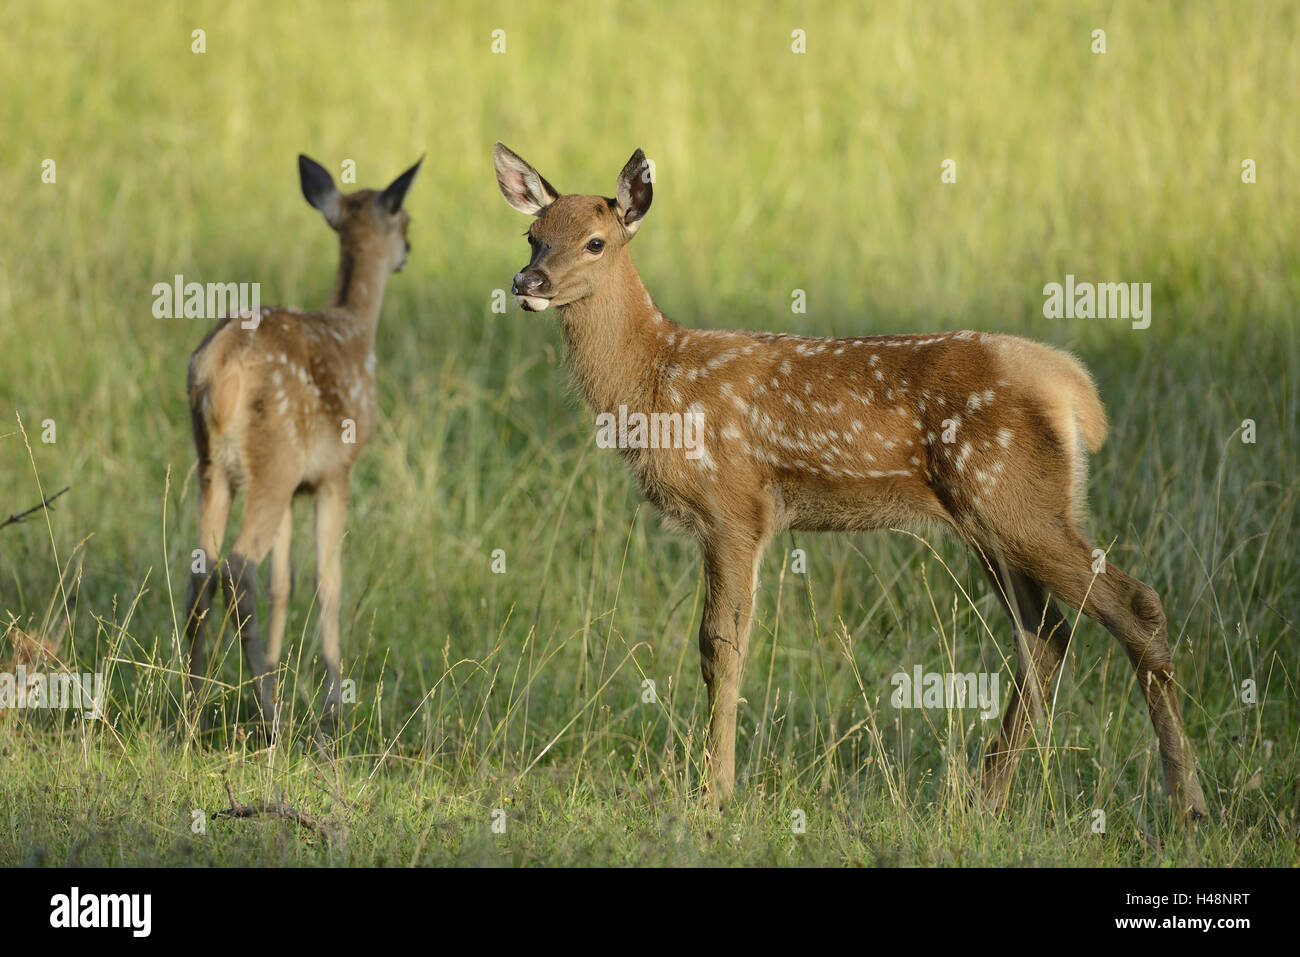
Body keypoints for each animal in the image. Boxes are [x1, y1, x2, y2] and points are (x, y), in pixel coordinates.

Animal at [183, 154, 421, 736]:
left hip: (215, 466)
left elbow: (284, 582)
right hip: (273, 459)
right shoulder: (336, 472)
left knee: (202, 571)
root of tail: (216, 372)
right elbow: (326, 582)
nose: (409, 251)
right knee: (238, 569)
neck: (355, 329)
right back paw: (269, 717)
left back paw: (193, 709)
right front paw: (333, 702)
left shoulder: (298, 486)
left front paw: (280, 668)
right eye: (405, 220)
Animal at [492, 142, 1209, 820]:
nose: (526, 280)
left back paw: (1189, 805)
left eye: (595, 241)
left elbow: (720, 645)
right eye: (532, 234)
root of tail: (1074, 391)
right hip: (994, 520)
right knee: (1045, 637)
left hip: (1016, 500)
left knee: (1135, 605)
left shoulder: (735, 504)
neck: (657, 380)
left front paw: (714, 793)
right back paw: (987, 800)